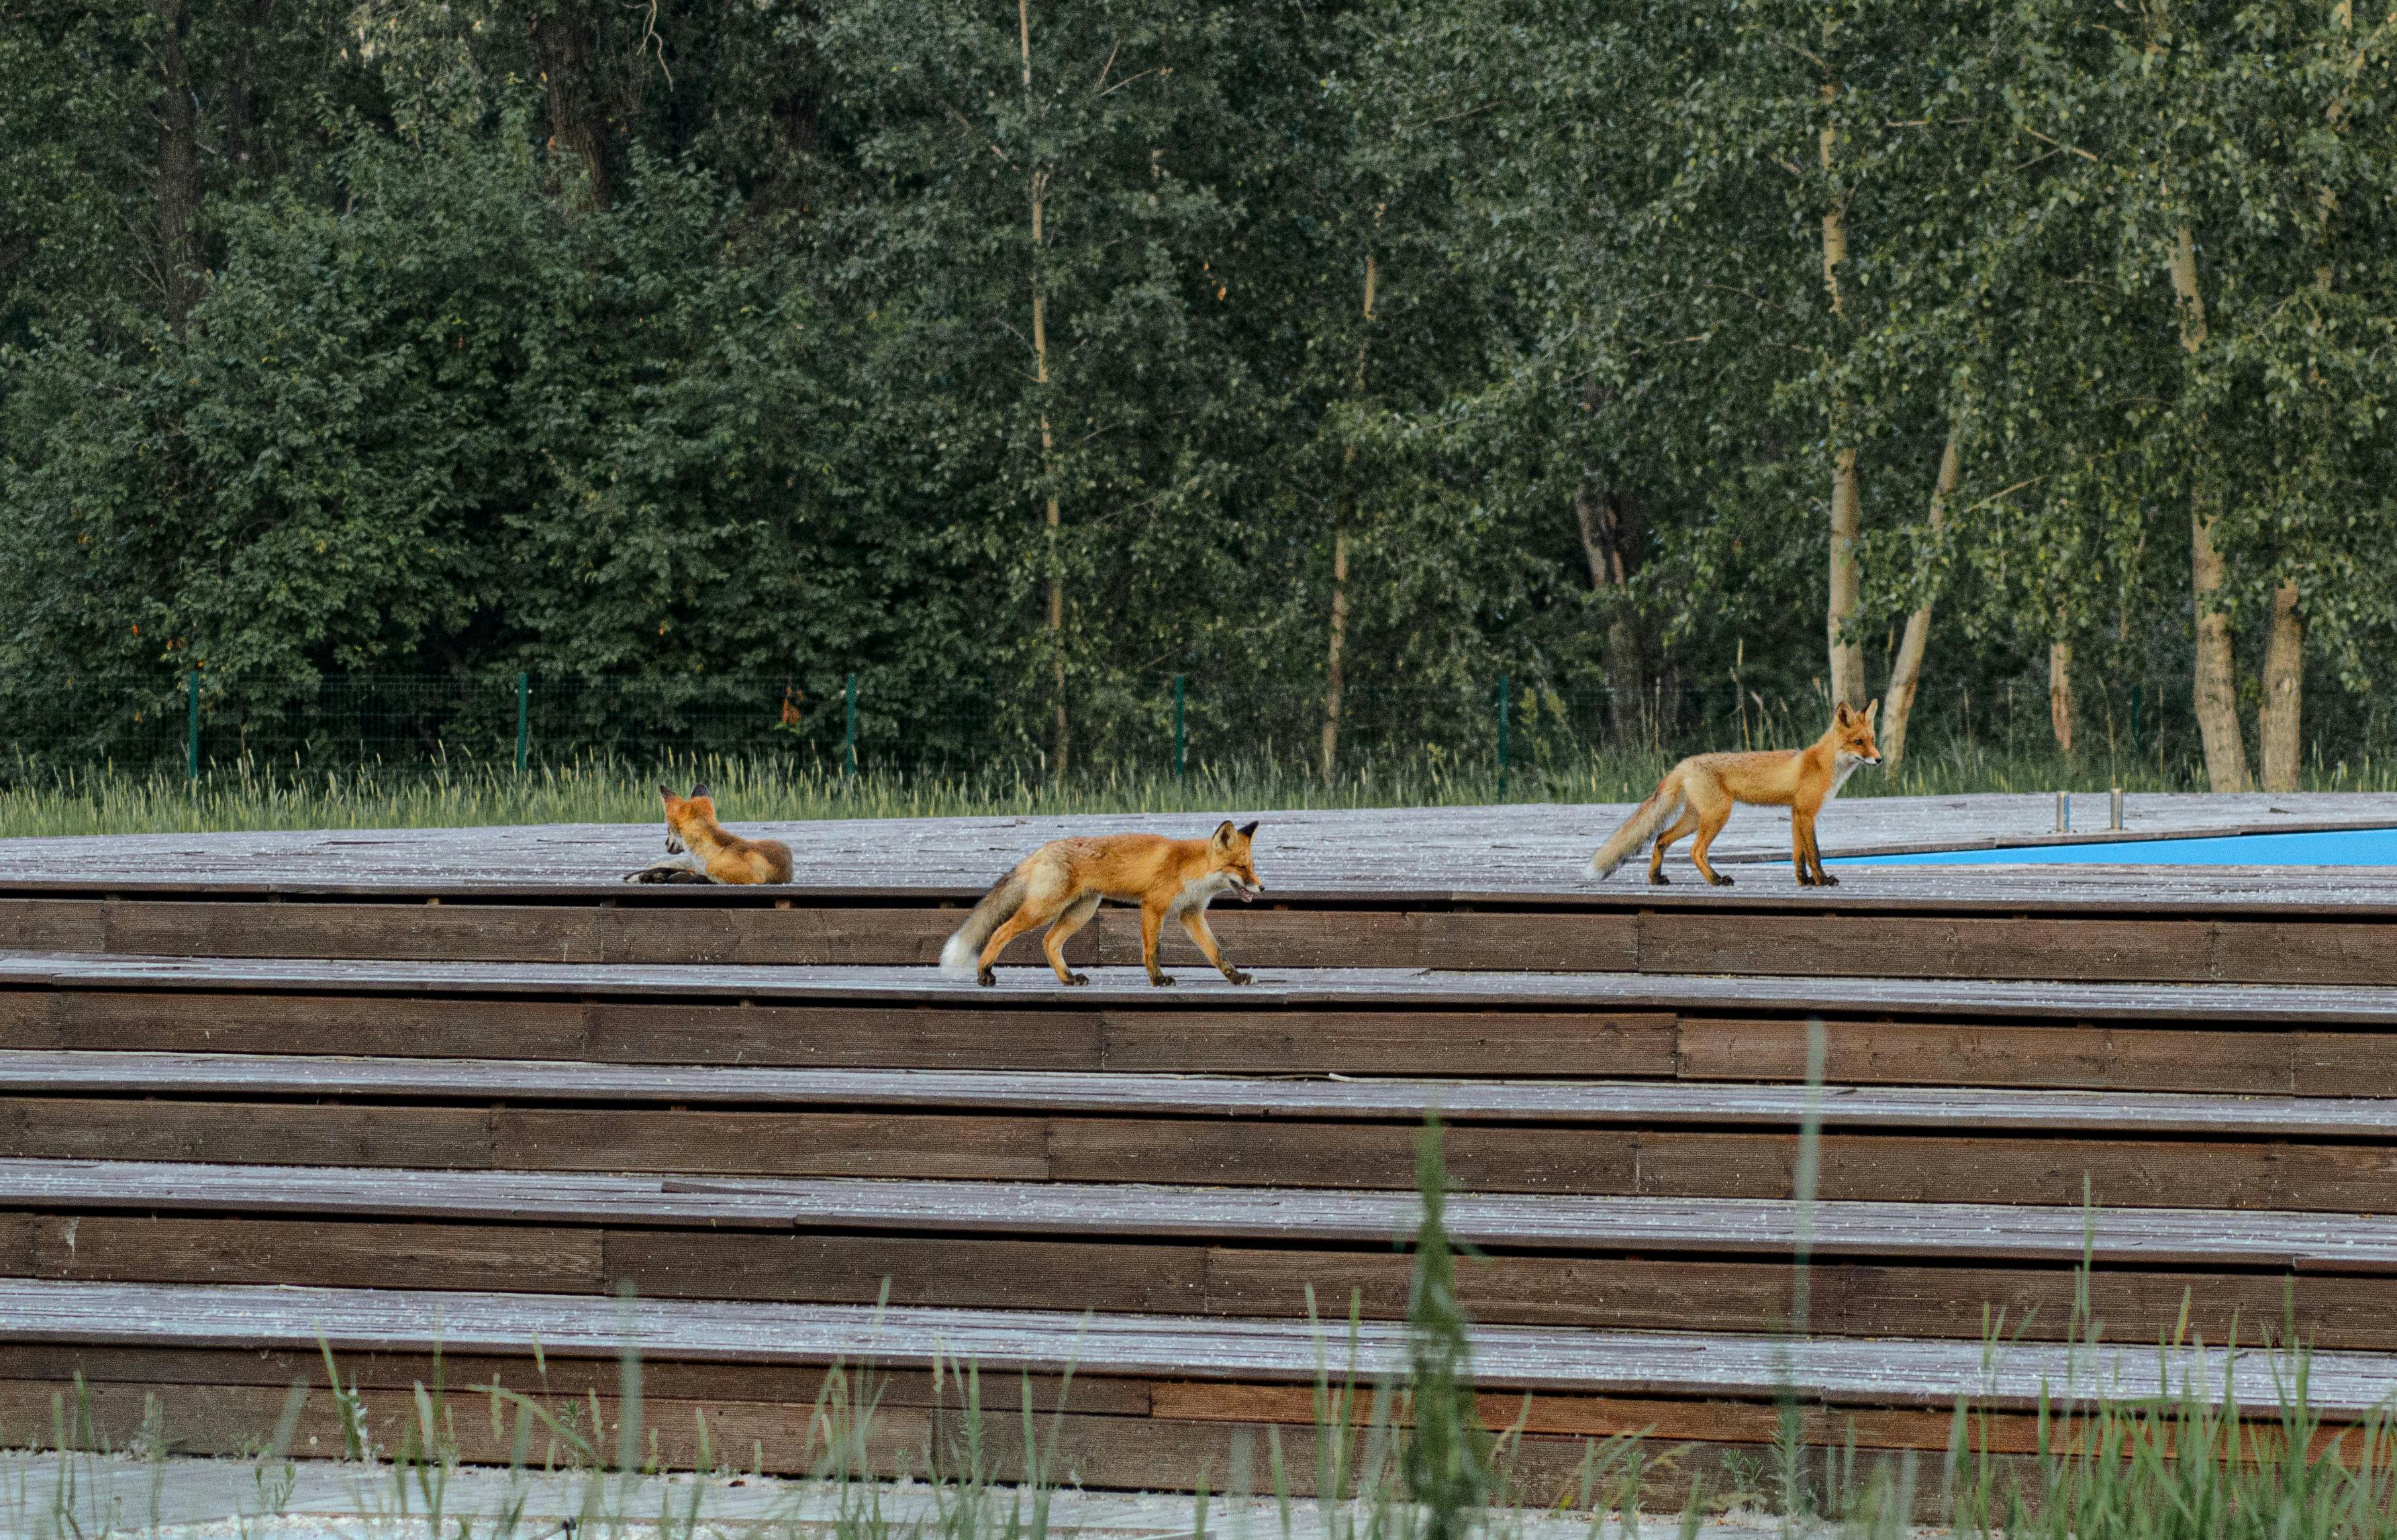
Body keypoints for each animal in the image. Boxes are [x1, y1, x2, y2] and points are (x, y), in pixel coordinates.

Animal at [624, 783, 794, 885]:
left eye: (668, 829)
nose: (666, 844)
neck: (713, 854)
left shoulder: (750, 879)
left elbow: (700, 878)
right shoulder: (699, 868)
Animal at [939, 820, 1264, 988]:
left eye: (1252, 867)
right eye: (1241, 868)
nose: (1262, 887)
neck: (1189, 868)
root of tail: (1042, 850)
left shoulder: (1191, 914)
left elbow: (1217, 952)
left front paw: (1236, 977)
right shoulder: (1153, 906)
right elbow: (1153, 950)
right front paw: (1158, 979)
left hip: (1081, 912)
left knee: (1049, 941)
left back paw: (1069, 978)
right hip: (1044, 909)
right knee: (1000, 931)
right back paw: (984, 973)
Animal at [1588, 700, 1883, 888]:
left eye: (1872, 740)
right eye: (1858, 742)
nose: (1880, 760)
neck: (1822, 764)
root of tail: (1684, 763)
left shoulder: (1796, 812)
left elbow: (1798, 855)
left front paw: (1805, 882)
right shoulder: (1807, 812)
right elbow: (1814, 854)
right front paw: (1822, 881)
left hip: (1695, 818)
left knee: (1660, 838)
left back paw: (1656, 879)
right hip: (1718, 815)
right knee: (1696, 851)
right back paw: (1716, 880)